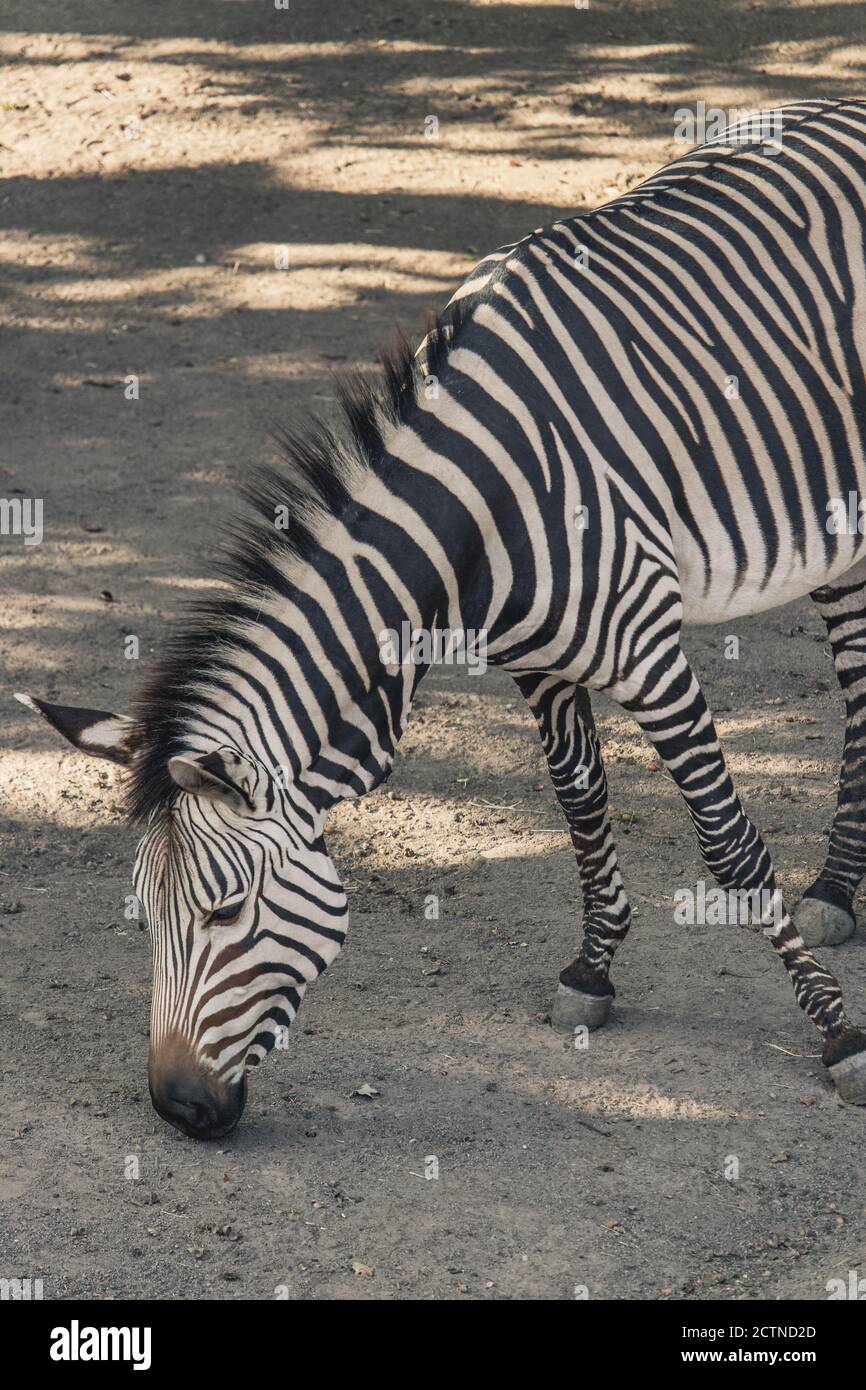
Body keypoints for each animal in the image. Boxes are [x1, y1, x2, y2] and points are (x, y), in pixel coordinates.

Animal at [18, 97, 866, 1138]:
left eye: (223, 914)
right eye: (145, 919)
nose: (177, 1110)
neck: (477, 505)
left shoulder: (648, 650)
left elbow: (729, 844)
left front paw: (837, 1032)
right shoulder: (539, 660)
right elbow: (582, 804)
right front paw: (594, 969)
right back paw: (836, 887)